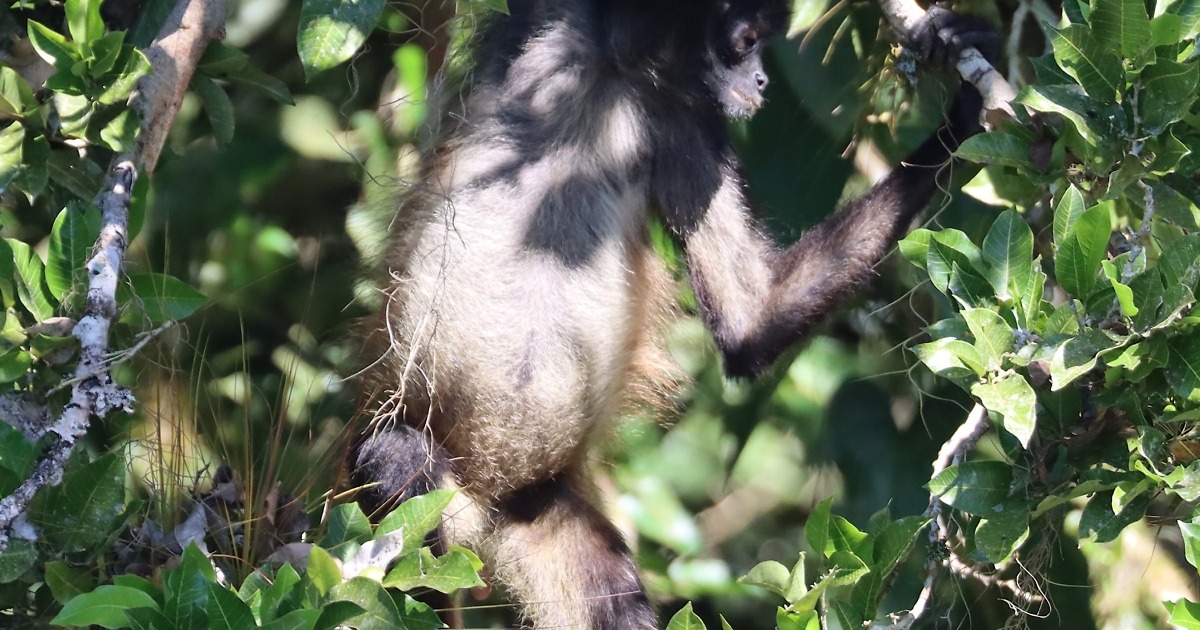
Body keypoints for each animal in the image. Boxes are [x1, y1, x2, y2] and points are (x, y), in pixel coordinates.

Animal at [351, 1, 997, 628]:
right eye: (747, 40)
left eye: (764, 45)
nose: (761, 79)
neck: (612, 71)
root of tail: (486, 502)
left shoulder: (684, 121)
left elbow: (749, 321)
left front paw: (962, 104)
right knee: (396, 457)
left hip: (540, 514)